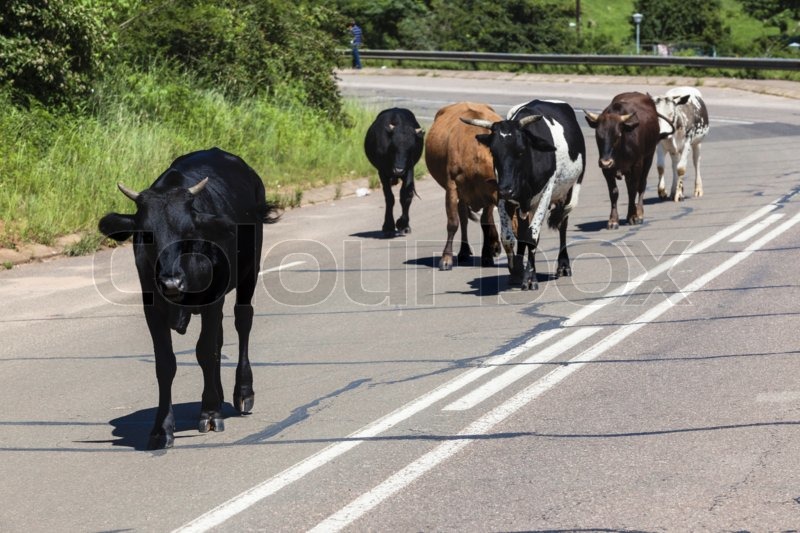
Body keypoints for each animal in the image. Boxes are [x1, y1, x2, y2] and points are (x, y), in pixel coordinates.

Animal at [98, 148, 278, 449]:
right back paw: (217, 393)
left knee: (242, 321)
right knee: (219, 337)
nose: (171, 282)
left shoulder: (213, 299)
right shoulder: (152, 306)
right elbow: (166, 363)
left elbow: (205, 350)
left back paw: (242, 392)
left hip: (249, 272)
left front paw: (211, 414)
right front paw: (162, 428)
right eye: (146, 235)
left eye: (189, 232)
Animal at [364, 108, 425, 236]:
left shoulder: (409, 169)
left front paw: (403, 224)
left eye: (411, 148)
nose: (398, 170)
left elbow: (406, 195)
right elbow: (389, 198)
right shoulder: (382, 172)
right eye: (393, 146)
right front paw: (388, 225)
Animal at [425, 102, 503, 270]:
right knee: (463, 217)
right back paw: (464, 251)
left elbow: (485, 222)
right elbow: (453, 222)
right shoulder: (452, 186)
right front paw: (446, 258)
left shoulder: (488, 193)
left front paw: (487, 255)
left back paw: (493, 245)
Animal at [461, 99, 585, 290]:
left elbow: (532, 236)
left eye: (520, 151)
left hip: (567, 192)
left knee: (562, 225)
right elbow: (509, 237)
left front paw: (529, 278)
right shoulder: (503, 196)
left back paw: (563, 266)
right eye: (493, 152)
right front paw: (516, 271)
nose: (507, 189)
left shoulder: (545, 195)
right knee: (521, 232)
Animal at [584, 92, 663, 229]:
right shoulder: (607, 170)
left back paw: (639, 213)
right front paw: (613, 220)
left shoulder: (637, 165)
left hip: (649, 157)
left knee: (641, 185)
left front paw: (633, 216)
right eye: (598, 135)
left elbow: (633, 189)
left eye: (618, 135)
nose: (606, 162)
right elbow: (614, 192)